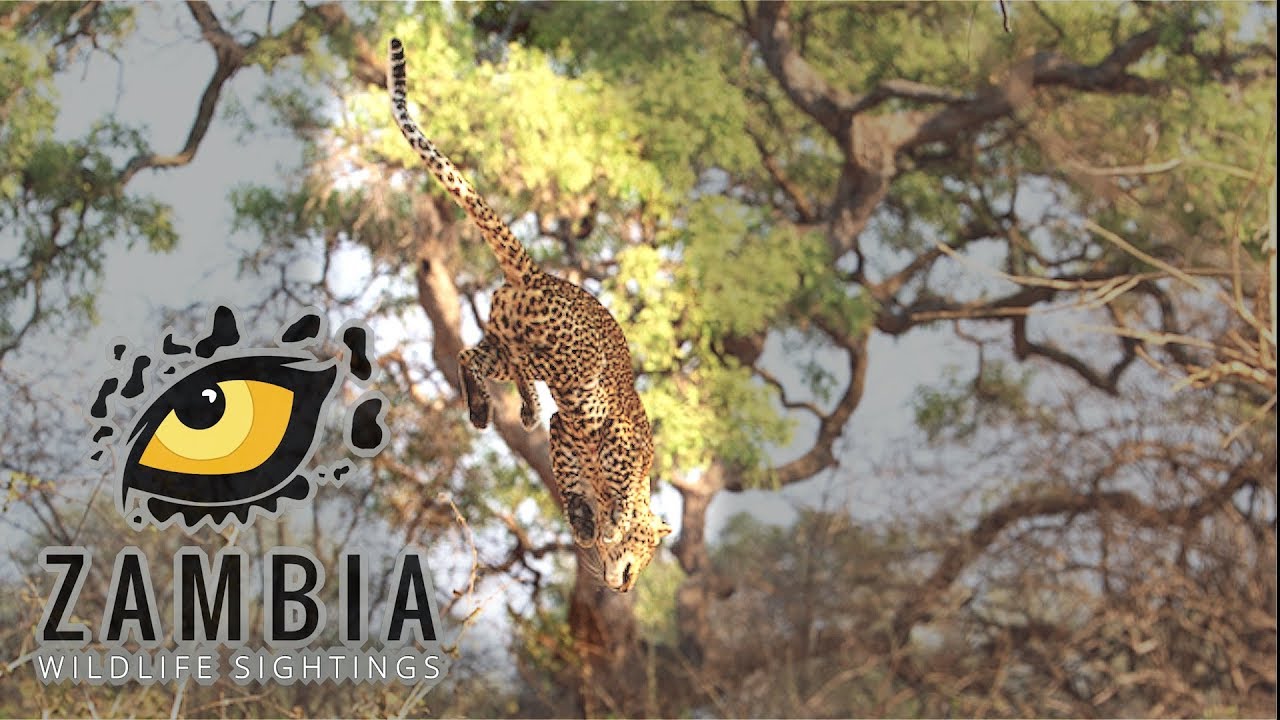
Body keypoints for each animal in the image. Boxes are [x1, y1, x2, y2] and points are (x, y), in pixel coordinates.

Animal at [388, 38, 670, 592]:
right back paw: (525, 408)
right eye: (650, 555)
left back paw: (483, 409)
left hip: (509, 338)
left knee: (468, 354)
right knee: (520, 367)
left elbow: (570, 477)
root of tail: (540, 276)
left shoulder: (566, 433)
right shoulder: (612, 437)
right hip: (568, 363)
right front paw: (612, 523)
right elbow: (621, 490)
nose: (627, 586)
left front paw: (585, 524)